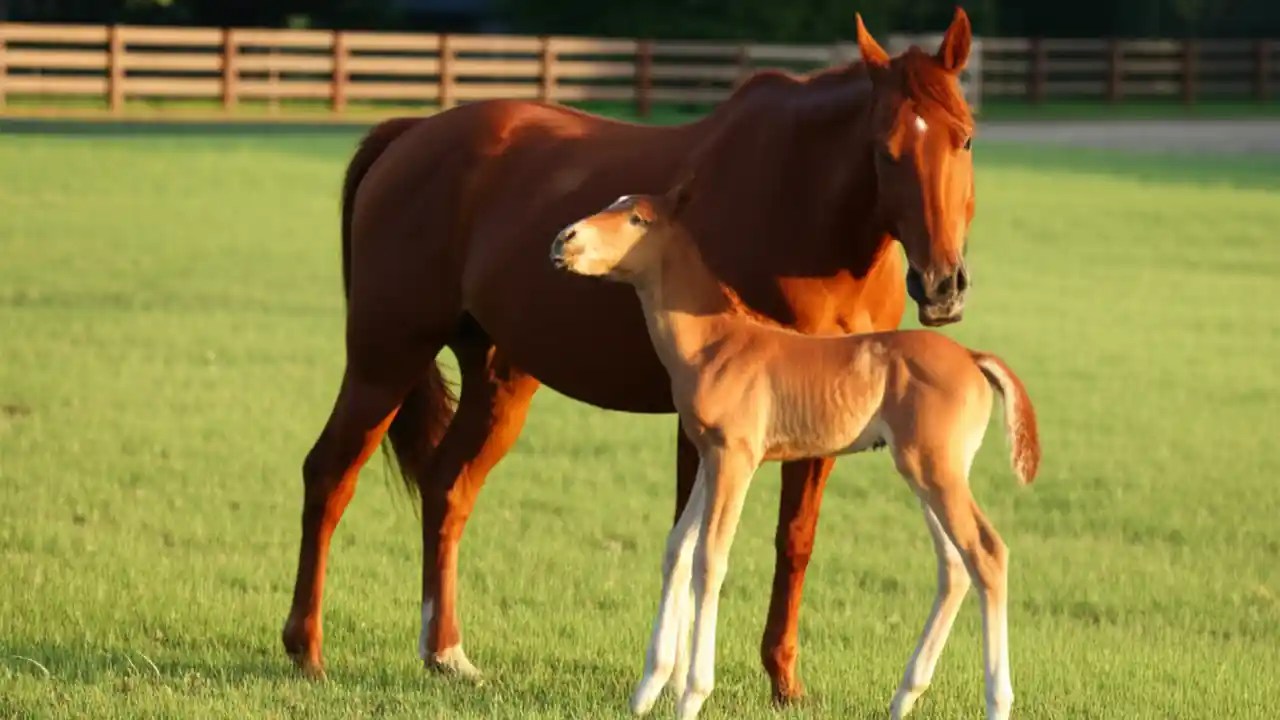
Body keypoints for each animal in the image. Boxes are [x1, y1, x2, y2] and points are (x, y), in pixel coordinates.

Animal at [281, 9, 979, 704]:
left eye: (965, 139)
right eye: (884, 148)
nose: (941, 285)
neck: (800, 212)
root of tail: (410, 134)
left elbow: (794, 540)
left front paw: (784, 681)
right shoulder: (706, 429)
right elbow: (691, 541)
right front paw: (678, 678)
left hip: (498, 382)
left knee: (447, 487)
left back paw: (445, 652)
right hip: (385, 359)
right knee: (330, 475)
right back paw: (307, 650)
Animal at [549, 190, 1039, 720]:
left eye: (637, 218)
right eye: (612, 203)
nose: (563, 241)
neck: (716, 342)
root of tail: (972, 358)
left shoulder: (735, 459)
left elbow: (710, 558)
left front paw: (692, 694)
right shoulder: (709, 456)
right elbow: (678, 547)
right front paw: (647, 690)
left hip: (935, 470)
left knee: (986, 553)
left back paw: (996, 701)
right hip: (923, 471)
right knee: (953, 564)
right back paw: (904, 697)